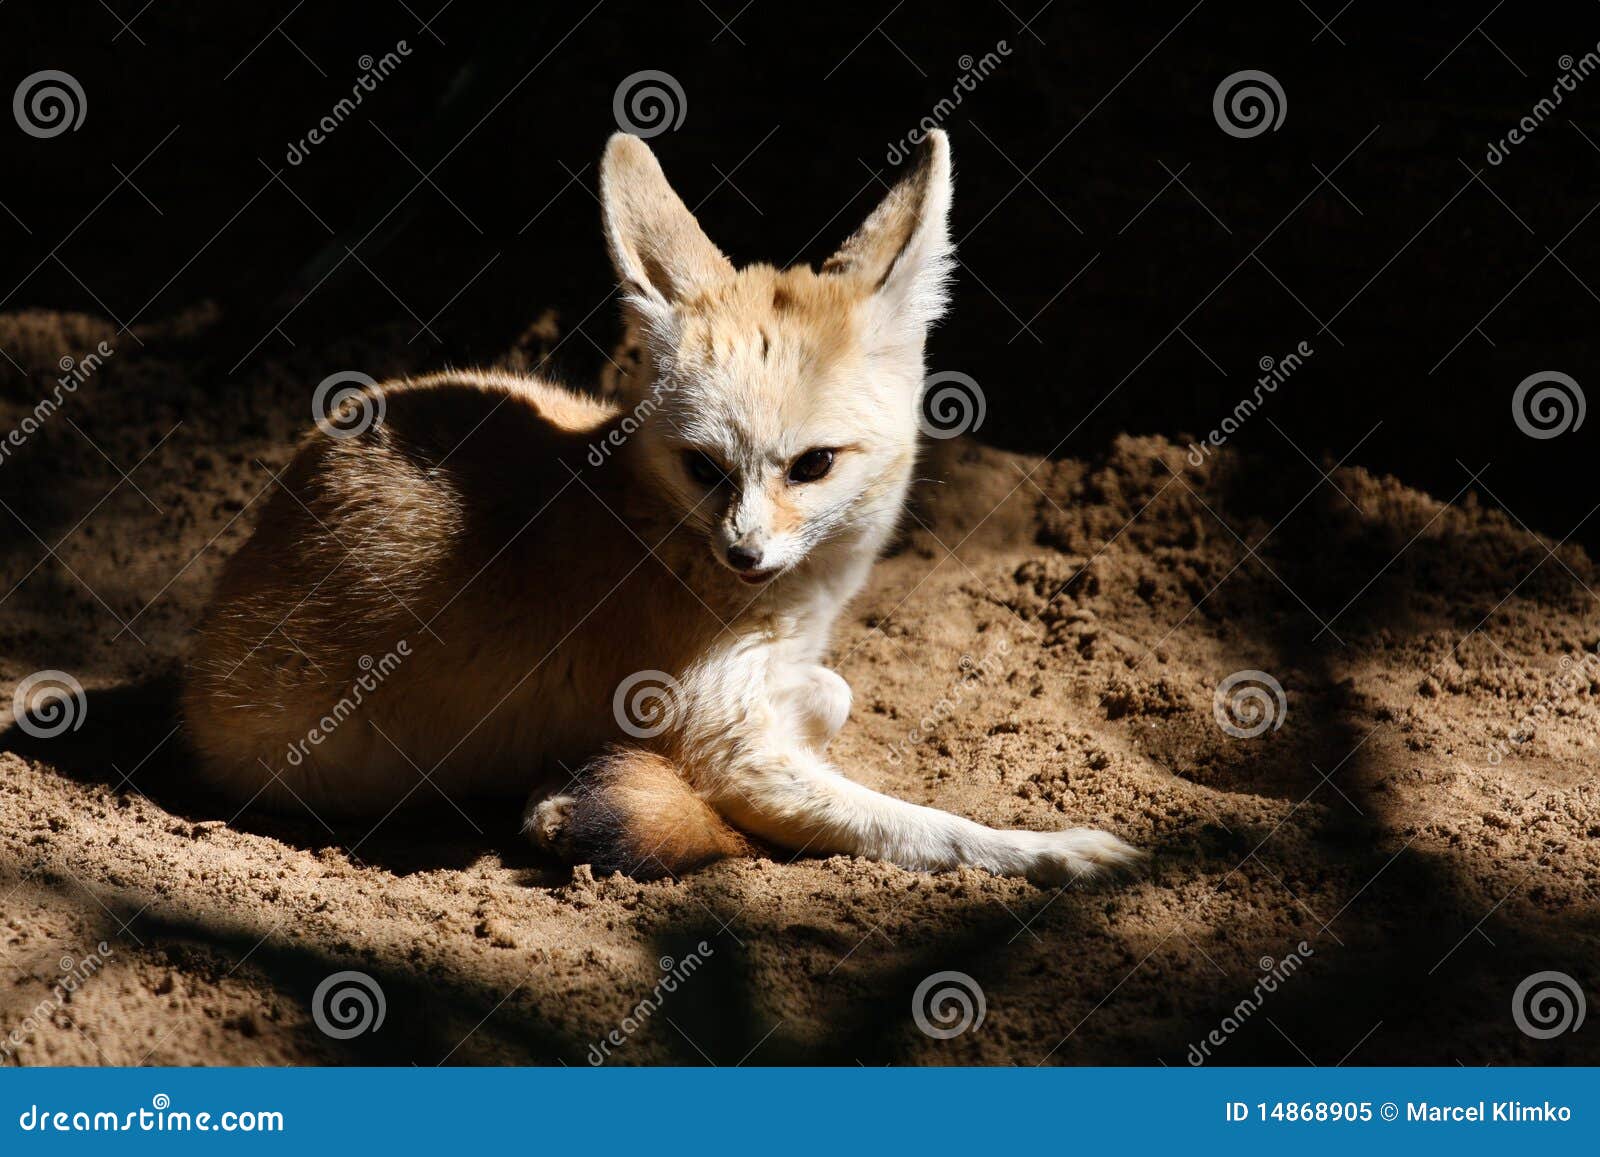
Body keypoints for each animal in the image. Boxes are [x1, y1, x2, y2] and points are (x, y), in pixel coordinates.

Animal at [182, 129, 1142, 885]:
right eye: (703, 467)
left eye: (813, 465)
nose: (744, 553)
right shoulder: (731, 755)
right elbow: (921, 826)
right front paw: (1052, 851)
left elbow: (833, 690)